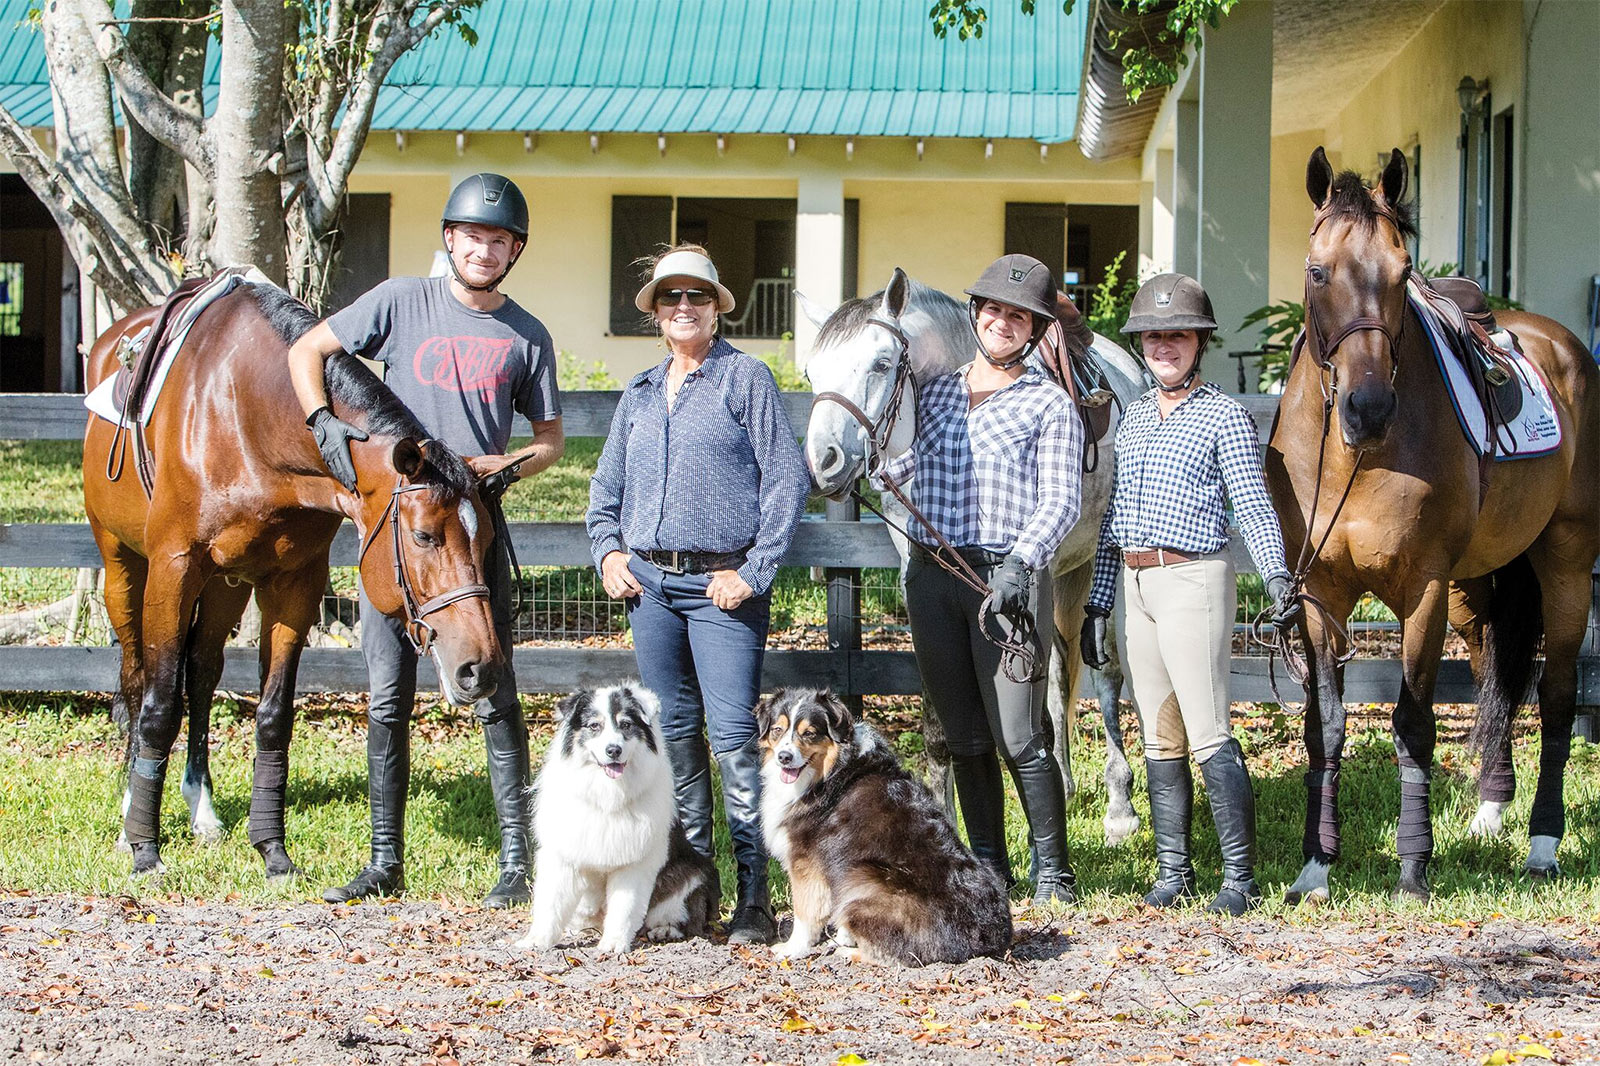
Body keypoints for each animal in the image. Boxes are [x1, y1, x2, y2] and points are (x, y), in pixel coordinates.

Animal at [83, 280, 519, 879]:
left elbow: (272, 716)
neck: (247, 417)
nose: (482, 667)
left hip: (226, 586)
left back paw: (202, 810)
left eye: (486, 540)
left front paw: (272, 848)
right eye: (424, 536)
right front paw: (145, 849)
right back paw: (132, 813)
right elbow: (159, 706)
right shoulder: (174, 568)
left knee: (202, 673)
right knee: (136, 676)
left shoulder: (293, 583)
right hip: (124, 566)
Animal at [799, 268, 1147, 844]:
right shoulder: (921, 581)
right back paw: (1068, 782)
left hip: (1104, 567)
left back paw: (1119, 805)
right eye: (810, 372)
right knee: (1062, 670)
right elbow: (943, 721)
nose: (823, 461)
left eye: (880, 364)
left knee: (1107, 674)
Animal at [1265, 147, 1600, 903]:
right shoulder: (1320, 595)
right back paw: (1490, 811)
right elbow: (1326, 727)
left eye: (1401, 271)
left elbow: (1414, 724)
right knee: (1490, 670)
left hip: (1565, 561)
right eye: (1318, 270)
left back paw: (1543, 843)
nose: (1368, 409)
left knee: (1557, 697)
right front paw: (1315, 866)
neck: (1353, 457)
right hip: (1475, 585)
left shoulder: (1421, 590)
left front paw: (1413, 870)